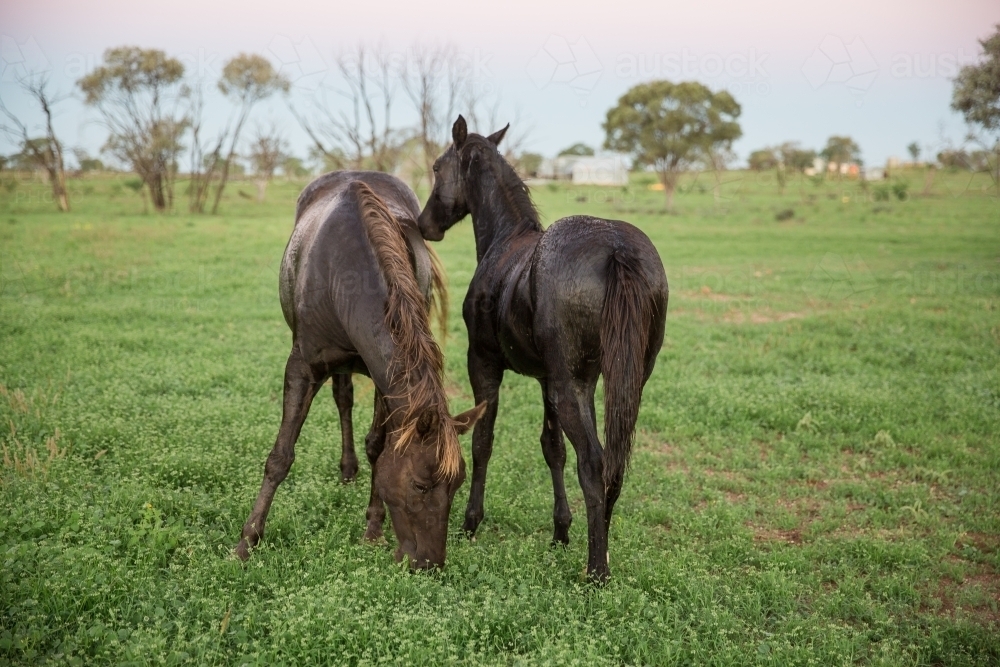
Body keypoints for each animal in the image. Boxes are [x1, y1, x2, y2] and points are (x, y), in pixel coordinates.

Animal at [236, 171, 485, 569]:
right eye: (421, 484)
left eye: (458, 484)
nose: (430, 563)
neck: (348, 268)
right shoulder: (302, 367)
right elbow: (280, 456)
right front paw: (247, 540)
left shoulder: (386, 381)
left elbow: (379, 447)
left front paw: (373, 528)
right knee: (343, 399)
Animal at [417, 117, 668, 581]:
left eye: (438, 167)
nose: (426, 225)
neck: (506, 242)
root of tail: (617, 249)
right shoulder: (546, 379)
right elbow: (552, 449)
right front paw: (561, 531)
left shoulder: (483, 364)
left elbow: (483, 441)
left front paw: (470, 523)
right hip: (623, 382)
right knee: (614, 463)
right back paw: (601, 551)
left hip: (575, 387)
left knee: (594, 463)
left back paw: (596, 572)